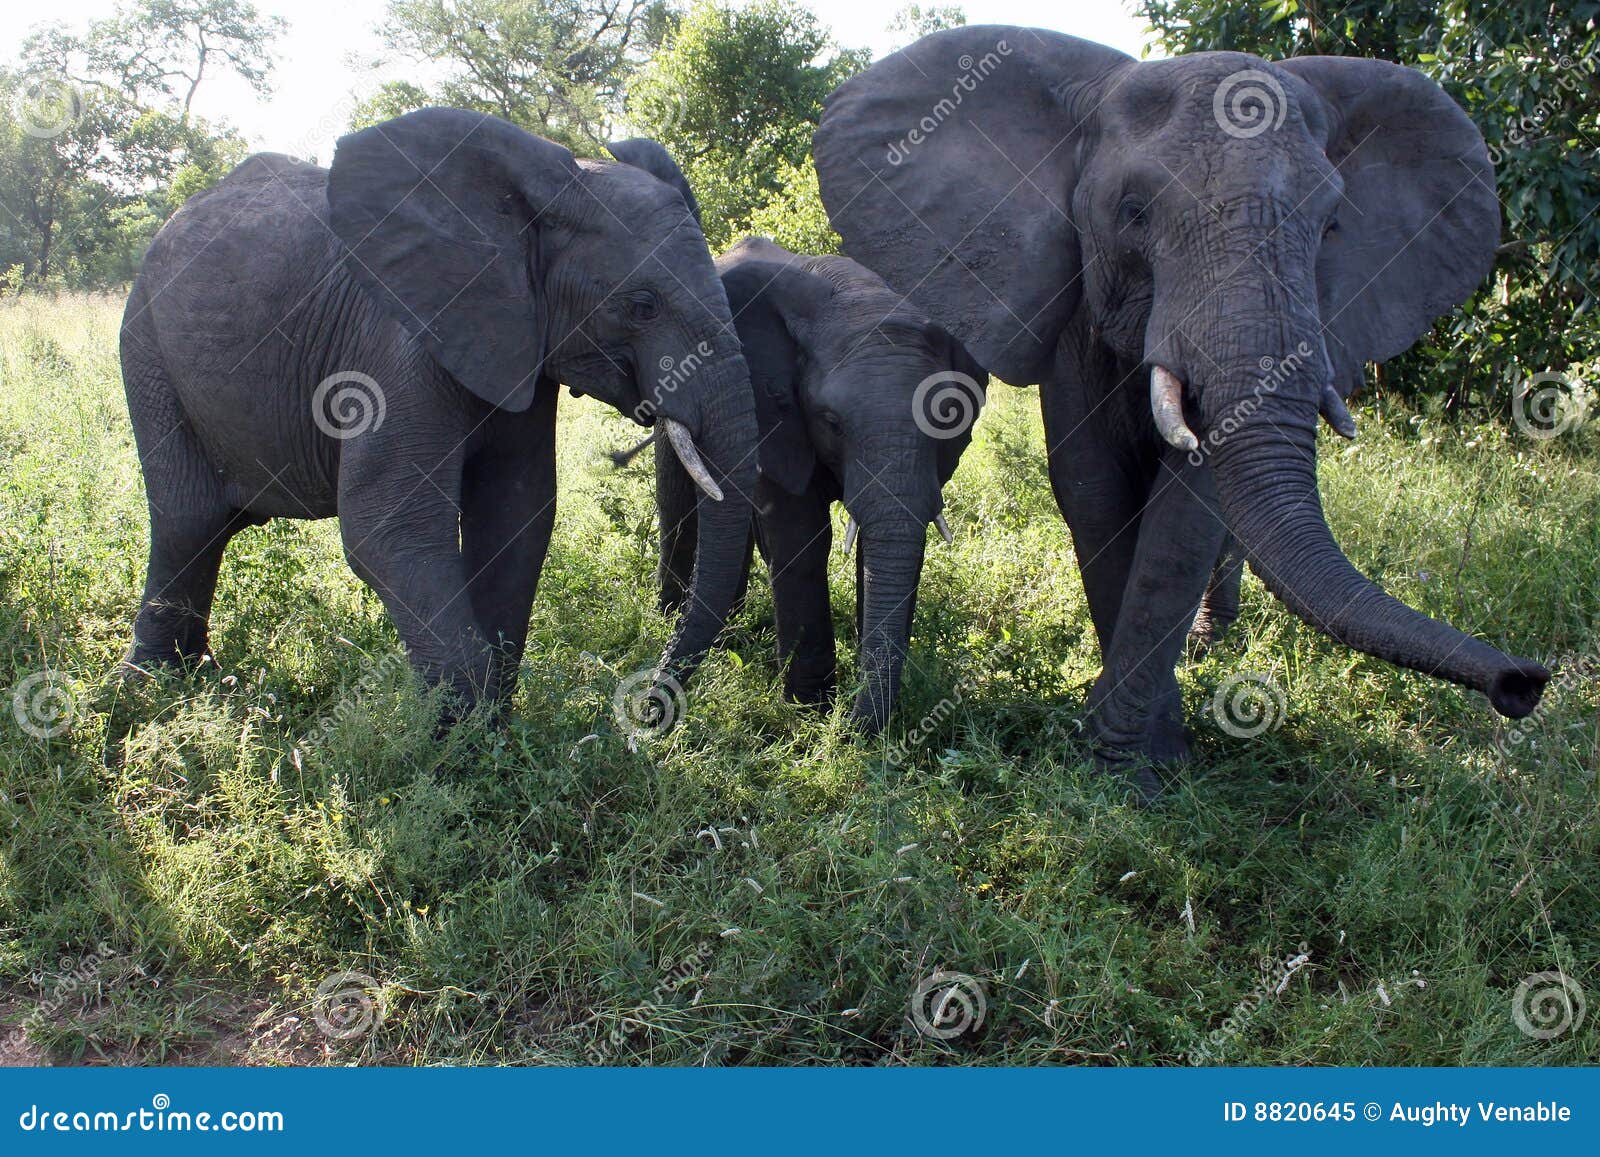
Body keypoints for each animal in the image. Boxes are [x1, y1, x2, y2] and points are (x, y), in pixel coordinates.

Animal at [118, 109, 758, 717]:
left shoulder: (517, 341)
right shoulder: (393, 349)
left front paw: (491, 731)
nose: (647, 708)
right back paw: (156, 690)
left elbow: (515, 513)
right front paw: (458, 741)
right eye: (643, 306)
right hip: (146, 346)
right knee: (190, 518)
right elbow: (389, 528)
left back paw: (191, 680)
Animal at [814, 27, 1549, 788]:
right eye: (1133, 213)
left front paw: (1130, 760)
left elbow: (1188, 513)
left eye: (1332, 226)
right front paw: (1123, 756)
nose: (1524, 683)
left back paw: (1209, 647)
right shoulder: (1076, 305)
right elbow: (1092, 485)